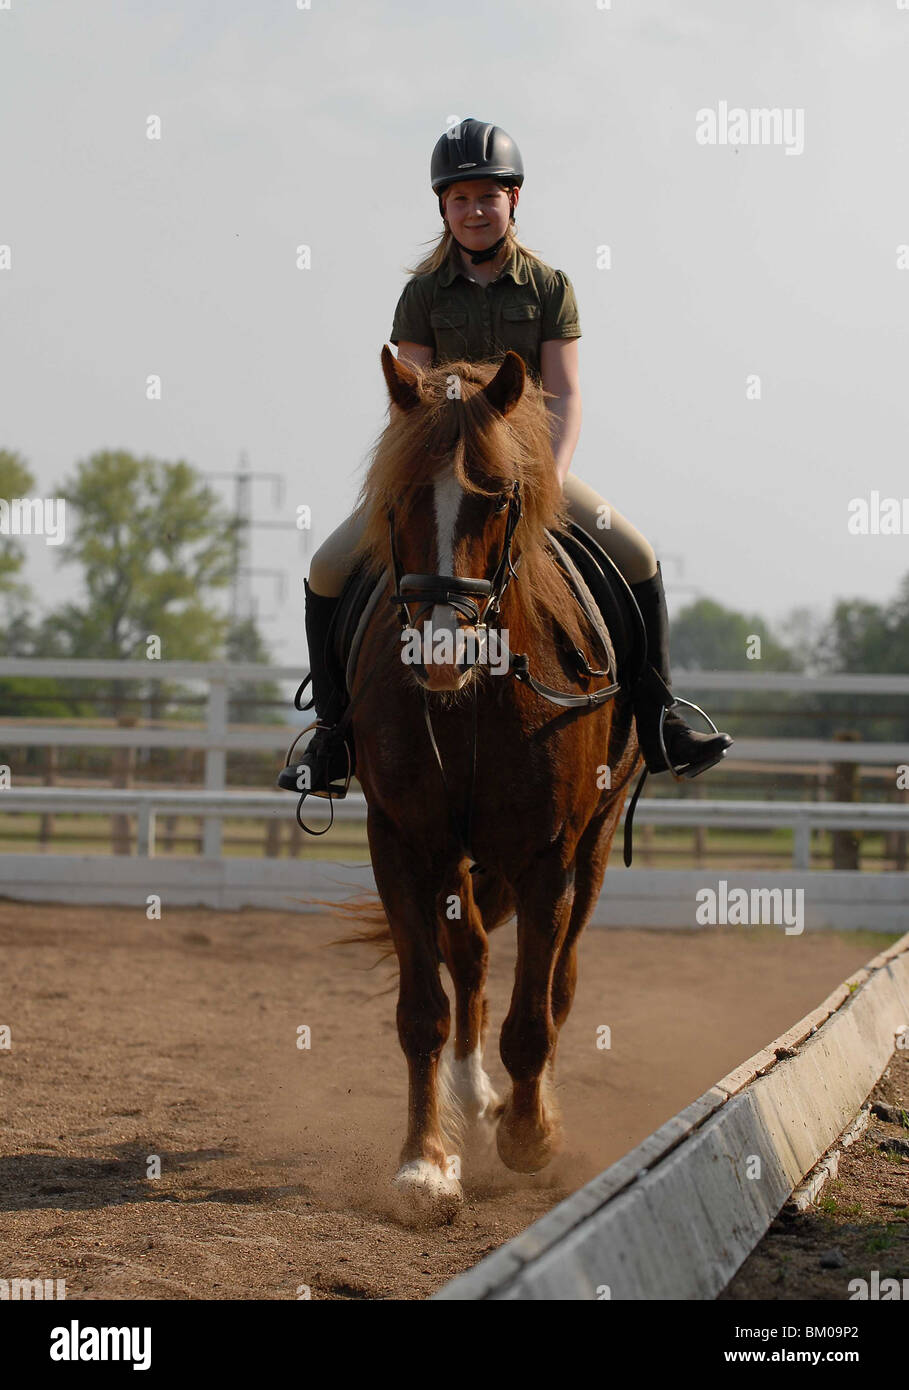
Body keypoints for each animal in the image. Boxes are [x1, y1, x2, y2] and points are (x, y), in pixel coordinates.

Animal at [345, 346, 639, 1224]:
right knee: (471, 959)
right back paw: (471, 1103)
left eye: (498, 498)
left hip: (596, 845)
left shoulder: (551, 855)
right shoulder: (403, 842)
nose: (441, 653)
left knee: (558, 981)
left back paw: (520, 1110)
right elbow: (423, 1011)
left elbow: (532, 1018)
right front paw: (423, 1163)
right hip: (453, 857)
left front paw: (529, 1135)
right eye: (397, 496)